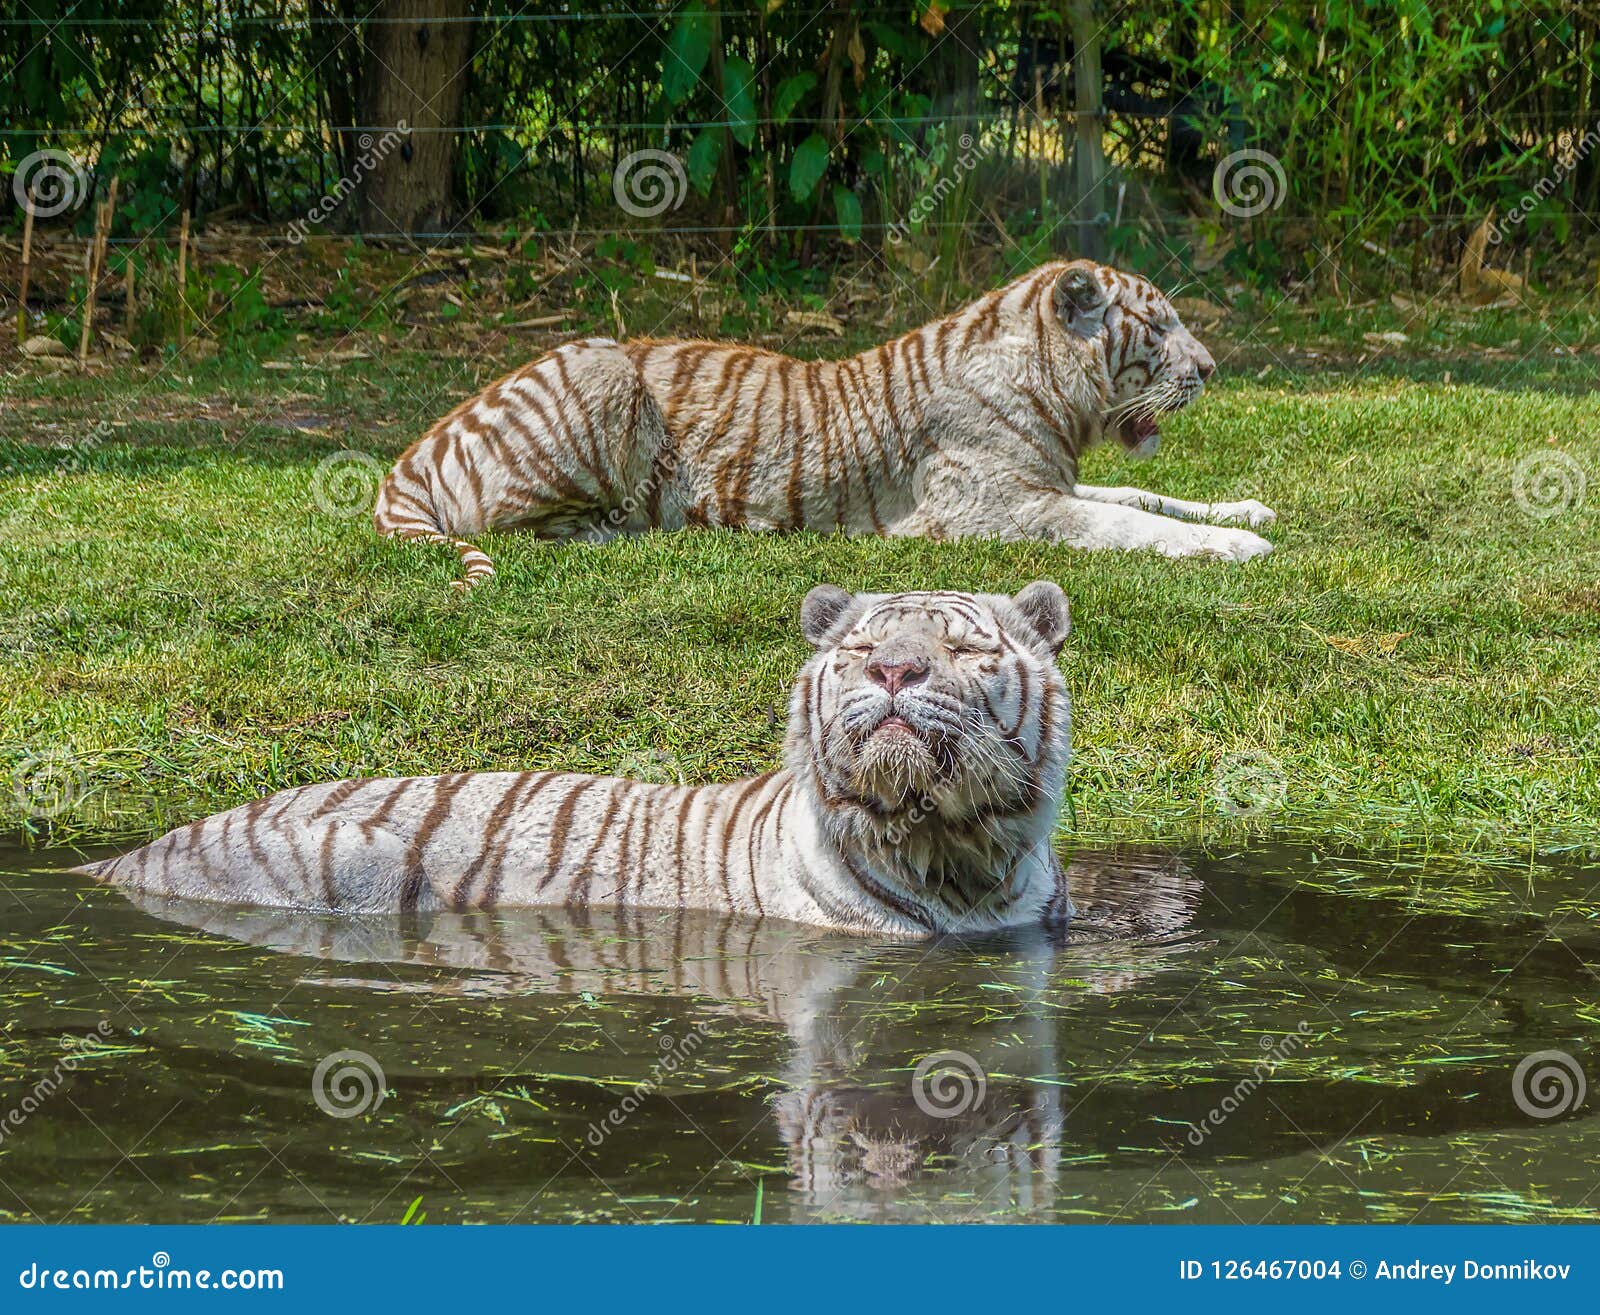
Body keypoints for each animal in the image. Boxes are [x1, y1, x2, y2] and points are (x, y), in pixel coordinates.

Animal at [78, 582, 1075, 937]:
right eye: (864, 649)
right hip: (359, 863)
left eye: (962, 647)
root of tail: (120, 854)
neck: (956, 855)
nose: (897, 669)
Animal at [371, 259, 1275, 590]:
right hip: (601, 369)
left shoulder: (1047, 481)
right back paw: (620, 532)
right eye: (1156, 328)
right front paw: (1243, 548)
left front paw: (1247, 510)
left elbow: (1144, 497)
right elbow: (1127, 522)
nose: (1210, 369)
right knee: (514, 523)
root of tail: (417, 446)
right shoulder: (1001, 509)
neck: (1062, 397)